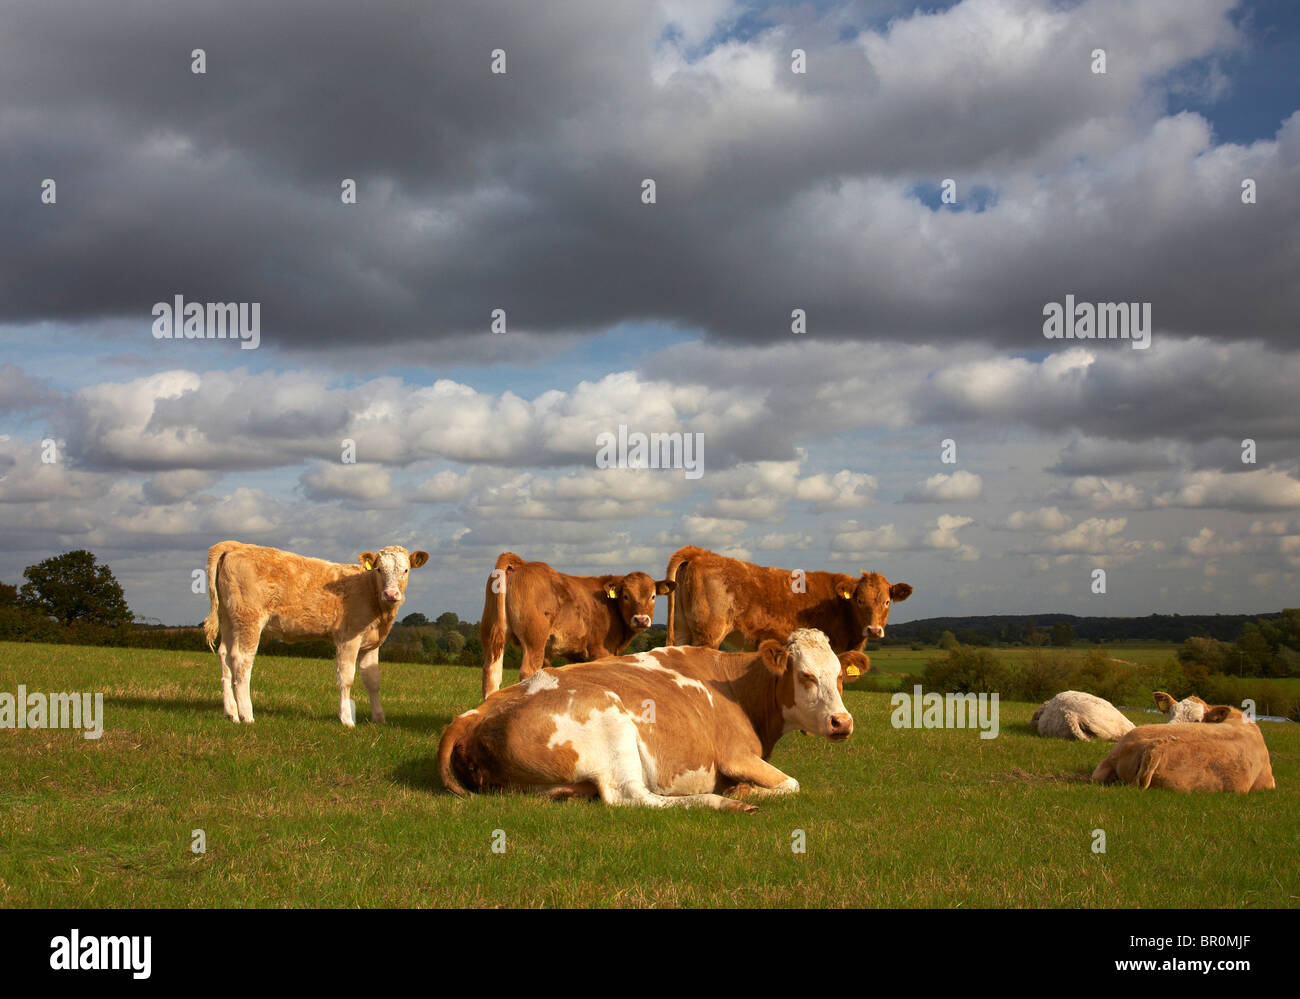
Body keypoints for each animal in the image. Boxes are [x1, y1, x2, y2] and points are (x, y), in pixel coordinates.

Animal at [202, 540, 428, 726]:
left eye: (406, 570)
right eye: (379, 569)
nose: (391, 594)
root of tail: (236, 545)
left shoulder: (371, 644)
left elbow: (373, 681)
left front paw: (379, 718)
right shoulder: (348, 639)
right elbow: (347, 678)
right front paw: (346, 719)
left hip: (229, 619)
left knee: (225, 656)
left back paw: (231, 713)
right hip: (249, 619)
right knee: (242, 661)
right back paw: (247, 715)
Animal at [440, 629, 866, 811]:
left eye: (840, 676)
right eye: (806, 676)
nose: (842, 722)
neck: (739, 685)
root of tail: (476, 712)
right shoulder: (737, 755)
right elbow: (793, 785)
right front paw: (745, 792)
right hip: (613, 723)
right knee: (632, 797)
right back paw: (724, 802)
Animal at [479, 553, 676, 698]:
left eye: (653, 596)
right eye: (626, 596)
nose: (641, 620)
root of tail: (521, 564)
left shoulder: (576, 654)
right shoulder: (600, 650)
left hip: (492, 636)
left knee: (491, 674)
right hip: (534, 642)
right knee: (527, 673)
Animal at [664, 545, 912, 653]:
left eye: (887, 602)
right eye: (860, 600)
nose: (874, 630)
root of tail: (701, 553)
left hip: (683, 629)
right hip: (708, 634)